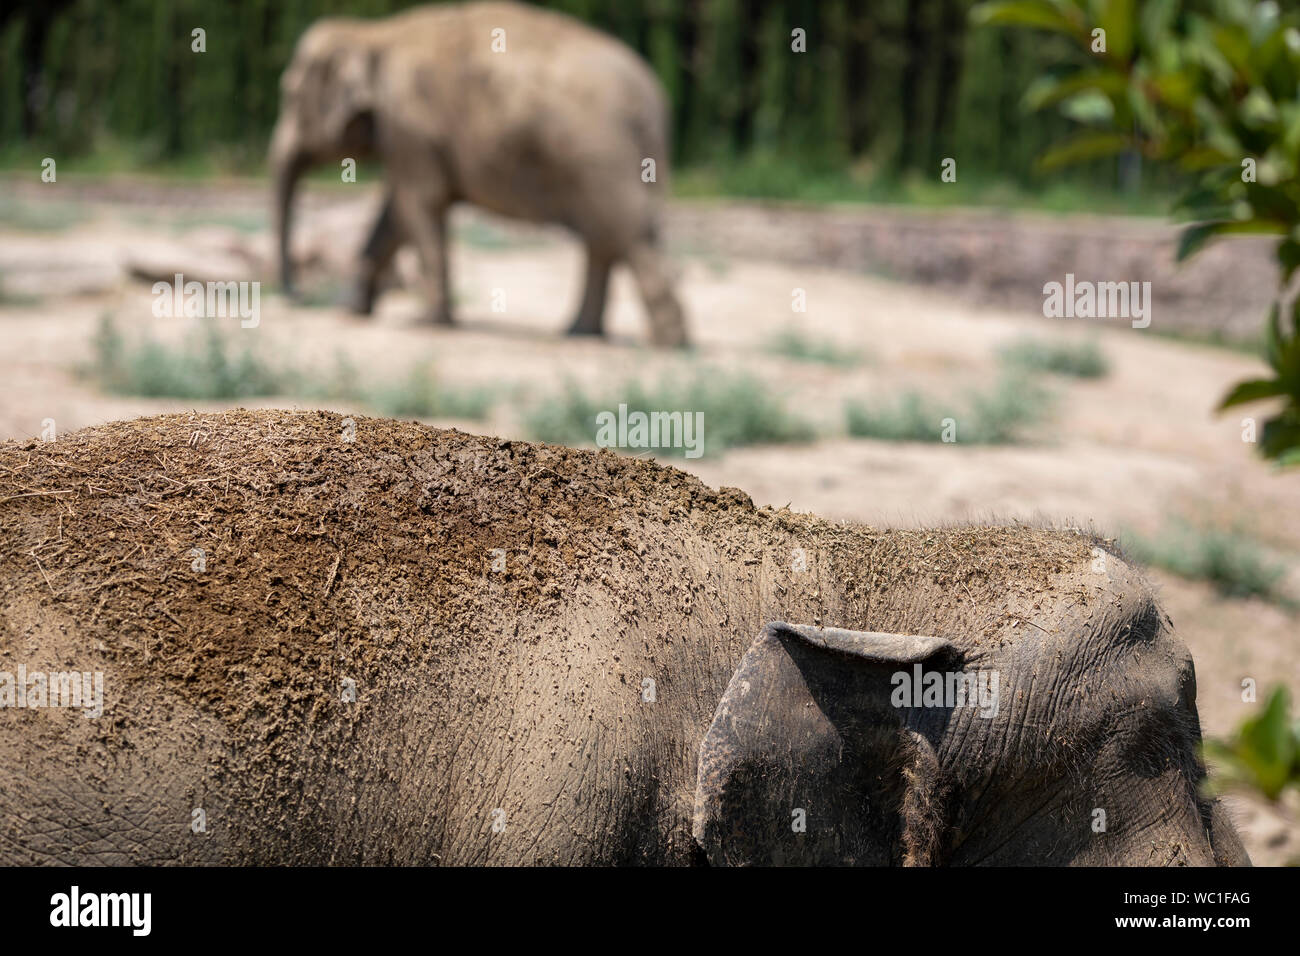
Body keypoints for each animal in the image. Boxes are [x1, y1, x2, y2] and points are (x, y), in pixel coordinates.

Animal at [269, 2, 688, 347]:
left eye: (290, 96)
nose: (296, 296)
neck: (374, 35)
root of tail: (657, 99)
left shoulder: (410, 127)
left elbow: (418, 205)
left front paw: (427, 323)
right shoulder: (410, 139)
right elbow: (395, 214)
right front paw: (351, 311)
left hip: (602, 156)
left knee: (628, 234)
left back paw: (667, 343)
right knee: (604, 238)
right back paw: (581, 334)